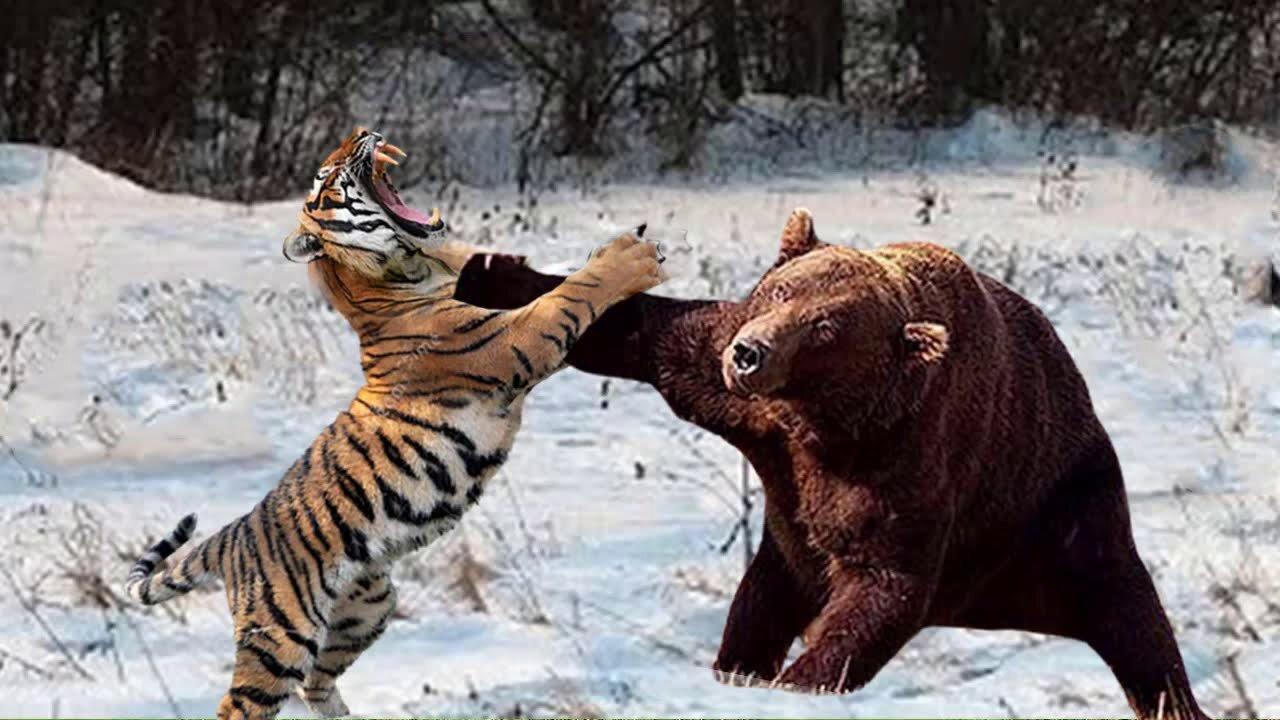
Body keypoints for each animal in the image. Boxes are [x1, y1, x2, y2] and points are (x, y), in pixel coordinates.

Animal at [123, 127, 665, 719]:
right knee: (245, 702)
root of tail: (234, 534)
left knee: (318, 682)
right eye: (324, 177)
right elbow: (568, 296)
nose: (360, 133)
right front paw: (631, 255)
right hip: (282, 637)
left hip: (367, 606)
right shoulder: (514, 341)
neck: (413, 269)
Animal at [453, 209, 1207, 719]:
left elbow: (884, 586)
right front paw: (493, 272)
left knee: (1135, 624)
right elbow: (644, 333)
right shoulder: (744, 405)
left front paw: (802, 680)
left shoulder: (899, 463)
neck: (815, 419)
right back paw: (736, 669)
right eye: (783, 291)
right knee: (757, 607)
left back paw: (1174, 698)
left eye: (826, 328)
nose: (751, 353)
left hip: (1066, 516)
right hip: (788, 556)